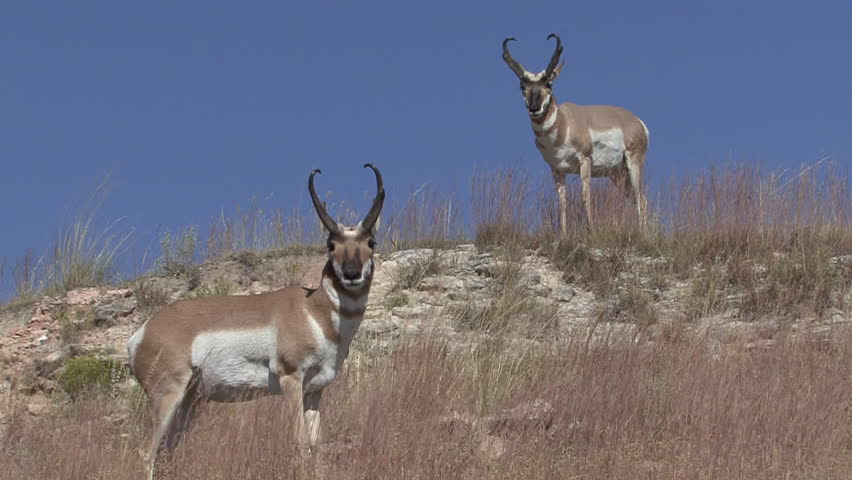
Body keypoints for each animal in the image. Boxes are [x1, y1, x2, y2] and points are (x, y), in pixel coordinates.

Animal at [127, 164, 385, 478]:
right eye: (330, 244)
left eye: (371, 242)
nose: (351, 273)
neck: (314, 310)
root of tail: (143, 331)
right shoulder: (290, 379)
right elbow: (300, 443)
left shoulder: (316, 390)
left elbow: (316, 447)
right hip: (168, 395)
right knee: (147, 454)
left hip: (191, 402)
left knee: (166, 452)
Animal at [502, 33, 650, 235]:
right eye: (522, 86)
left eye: (549, 84)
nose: (534, 108)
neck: (564, 123)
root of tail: (636, 121)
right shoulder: (557, 170)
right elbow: (562, 203)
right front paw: (563, 234)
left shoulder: (584, 160)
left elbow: (585, 197)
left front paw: (591, 229)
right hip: (617, 175)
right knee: (639, 199)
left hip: (633, 164)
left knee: (640, 197)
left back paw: (642, 232)